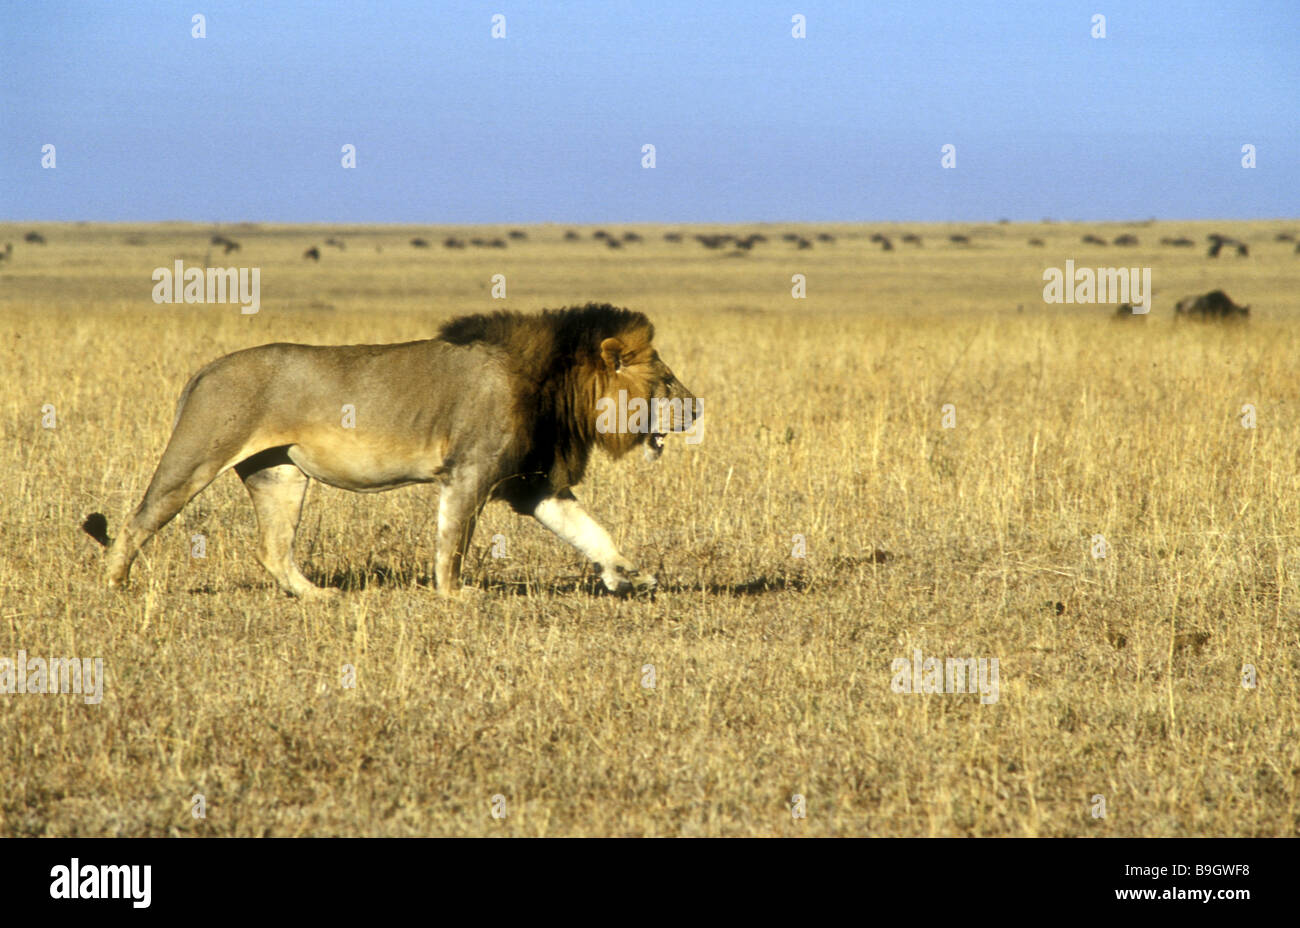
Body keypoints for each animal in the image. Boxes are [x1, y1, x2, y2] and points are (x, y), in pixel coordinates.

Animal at [88, 303, 699, 599]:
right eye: (666, 380)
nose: (695, 409)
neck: (558, 388)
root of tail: (205, 370)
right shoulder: (471, 471)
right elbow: (454, 542)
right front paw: (454, 596)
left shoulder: (531, 483)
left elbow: (592, 531)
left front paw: (630, 576)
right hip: (200, 452)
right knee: (137, 519)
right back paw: (114, 585)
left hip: (278, 473)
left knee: (272, 550)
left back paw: (316, 597)